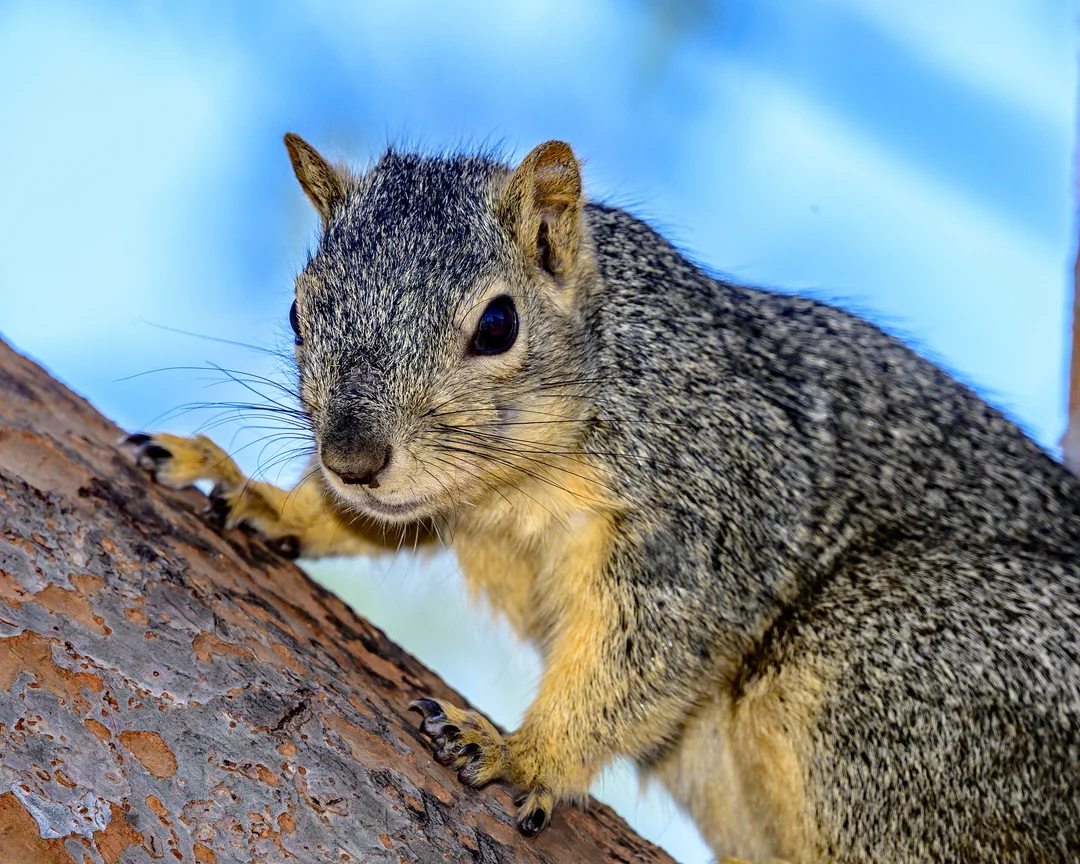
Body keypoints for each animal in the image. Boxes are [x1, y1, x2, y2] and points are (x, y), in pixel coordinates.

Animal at [126, 133, 1080, 863]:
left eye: (498, 325)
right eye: (297, 312)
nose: (353, 458)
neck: (515, 481)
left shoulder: (705, 512)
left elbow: (636, 661)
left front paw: (521, 754)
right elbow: (372, 525)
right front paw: (264, 495)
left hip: (886, 665)